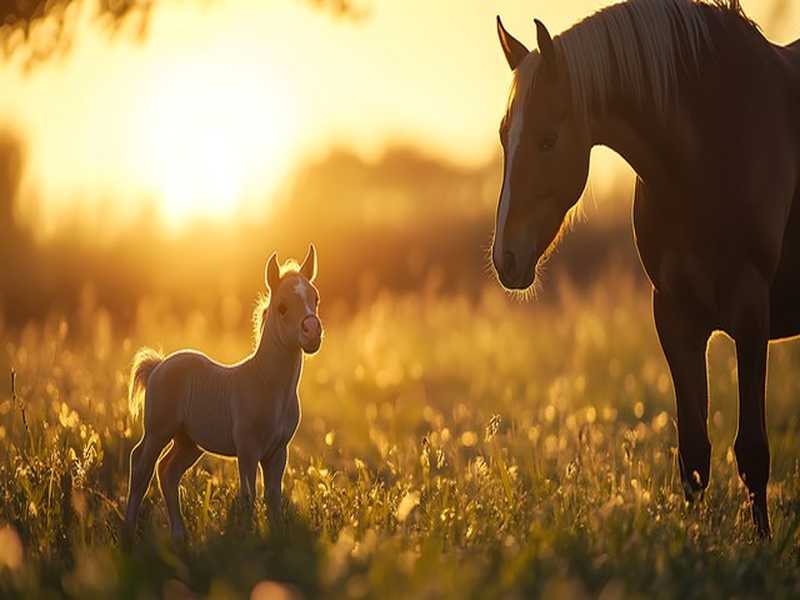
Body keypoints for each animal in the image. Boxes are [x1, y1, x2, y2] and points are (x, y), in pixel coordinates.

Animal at [122, 246, 322, 540]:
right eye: (282, 307)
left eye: (315, 299)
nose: (313, 333)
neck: (268, 385)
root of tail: (158, 365)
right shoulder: (248, 450)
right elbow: (248, 496)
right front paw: (248, 538)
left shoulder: (277, 452)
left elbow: (273, 497)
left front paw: (276, 536)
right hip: (158, 431)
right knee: (141, 467)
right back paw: (128, 532)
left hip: (188, 442)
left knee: (168, 472)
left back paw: (179, 535)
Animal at [490, 0, 800, 540]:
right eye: (506, 137)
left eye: (548, 139)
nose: (505, 258)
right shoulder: (674, 316)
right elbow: (694, 454)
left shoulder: (750, 313)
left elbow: (753, 452)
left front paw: (760, 545)